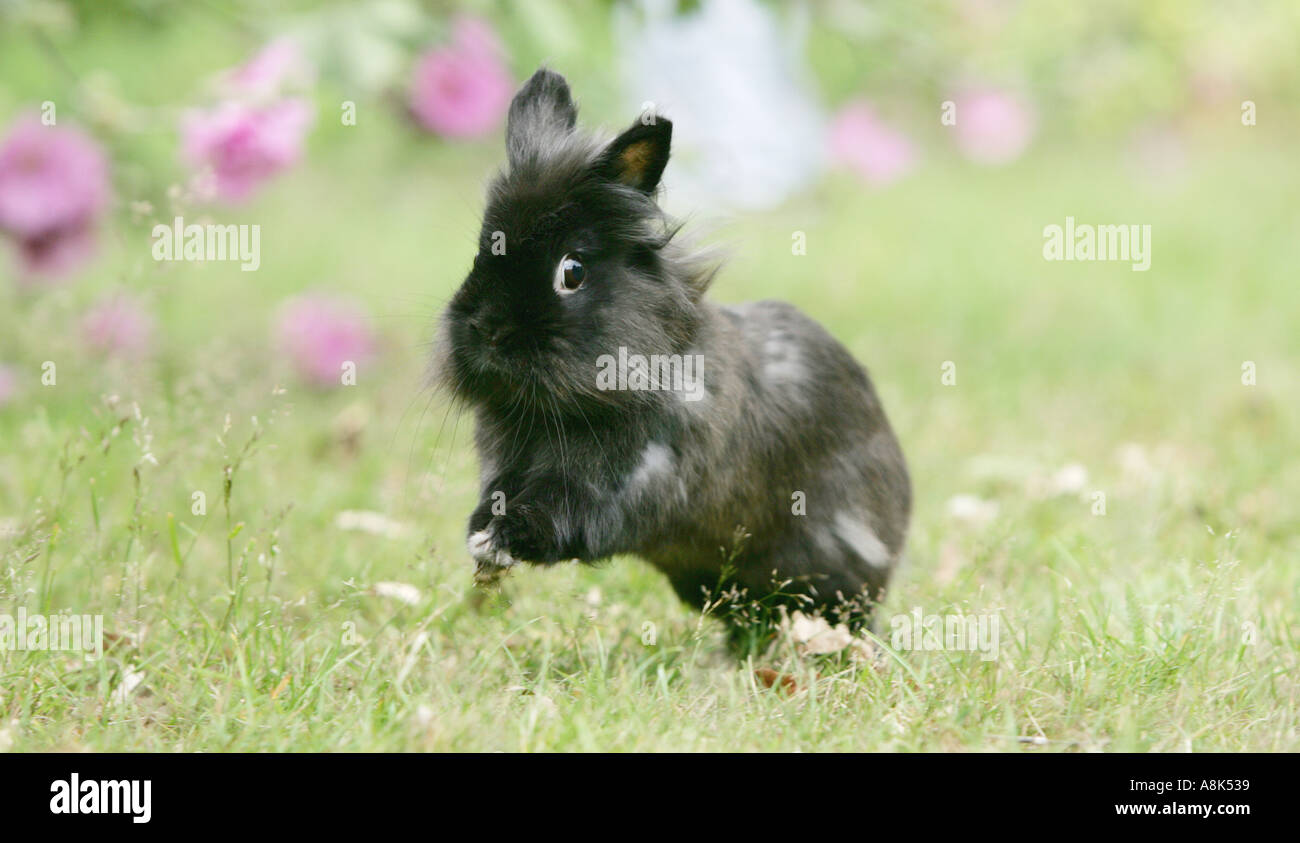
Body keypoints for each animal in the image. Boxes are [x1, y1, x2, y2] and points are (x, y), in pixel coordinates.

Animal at [433, 68, 911, 634]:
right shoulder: (506, 467)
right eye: (481, 253)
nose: (486, 329)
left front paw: (501, 539)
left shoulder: (634, 474)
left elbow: (565, 516)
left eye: (571, 272)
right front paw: (480, 534)